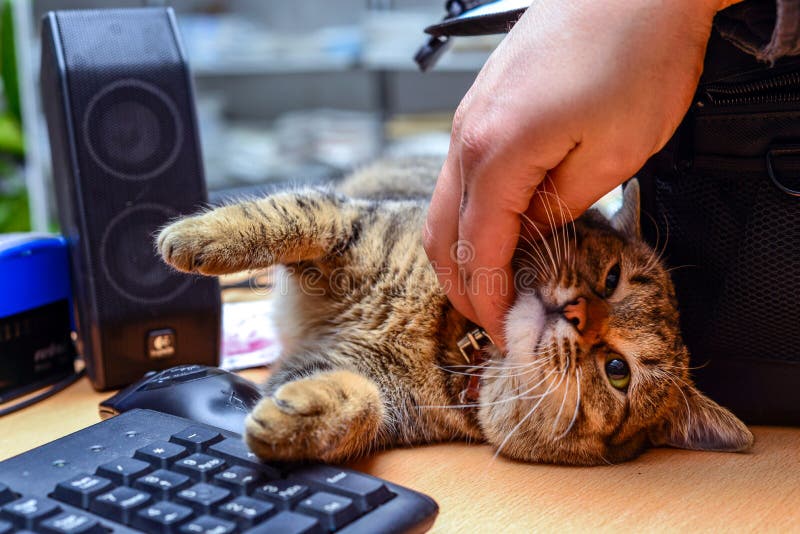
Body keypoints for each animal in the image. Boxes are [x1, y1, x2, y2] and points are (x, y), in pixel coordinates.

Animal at [158, 157, 756, 466]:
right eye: (611, 280)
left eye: (617, 372)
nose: (577, 315)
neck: (452, 342)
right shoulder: (359, 222)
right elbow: (293, 213)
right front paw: (196, 236)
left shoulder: (372, 391)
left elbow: (362, 403)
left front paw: (298, 417)